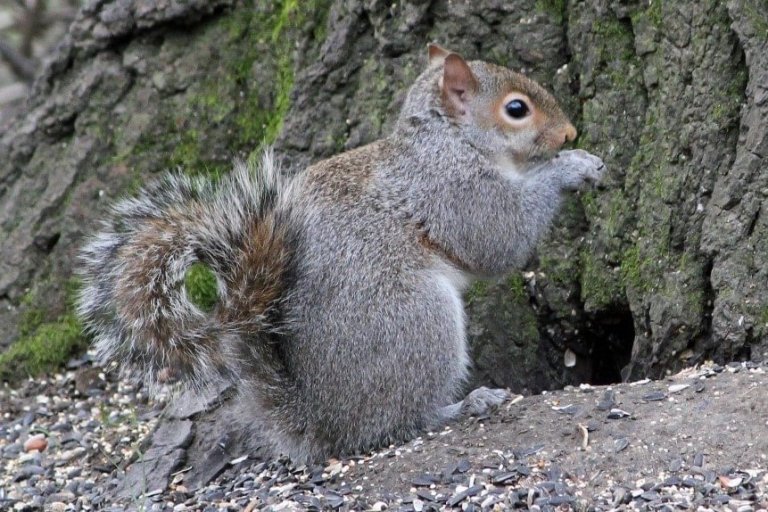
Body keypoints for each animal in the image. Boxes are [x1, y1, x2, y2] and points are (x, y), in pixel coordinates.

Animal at [77, 44, 605, 463]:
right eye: (517, 108)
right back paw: (465, 404)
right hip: (418, 323)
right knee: (401, 421)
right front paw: (570, 169)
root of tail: (323, 422)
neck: (450, 142)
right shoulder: (453, 193)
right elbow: (500, 240)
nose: (570, 133)